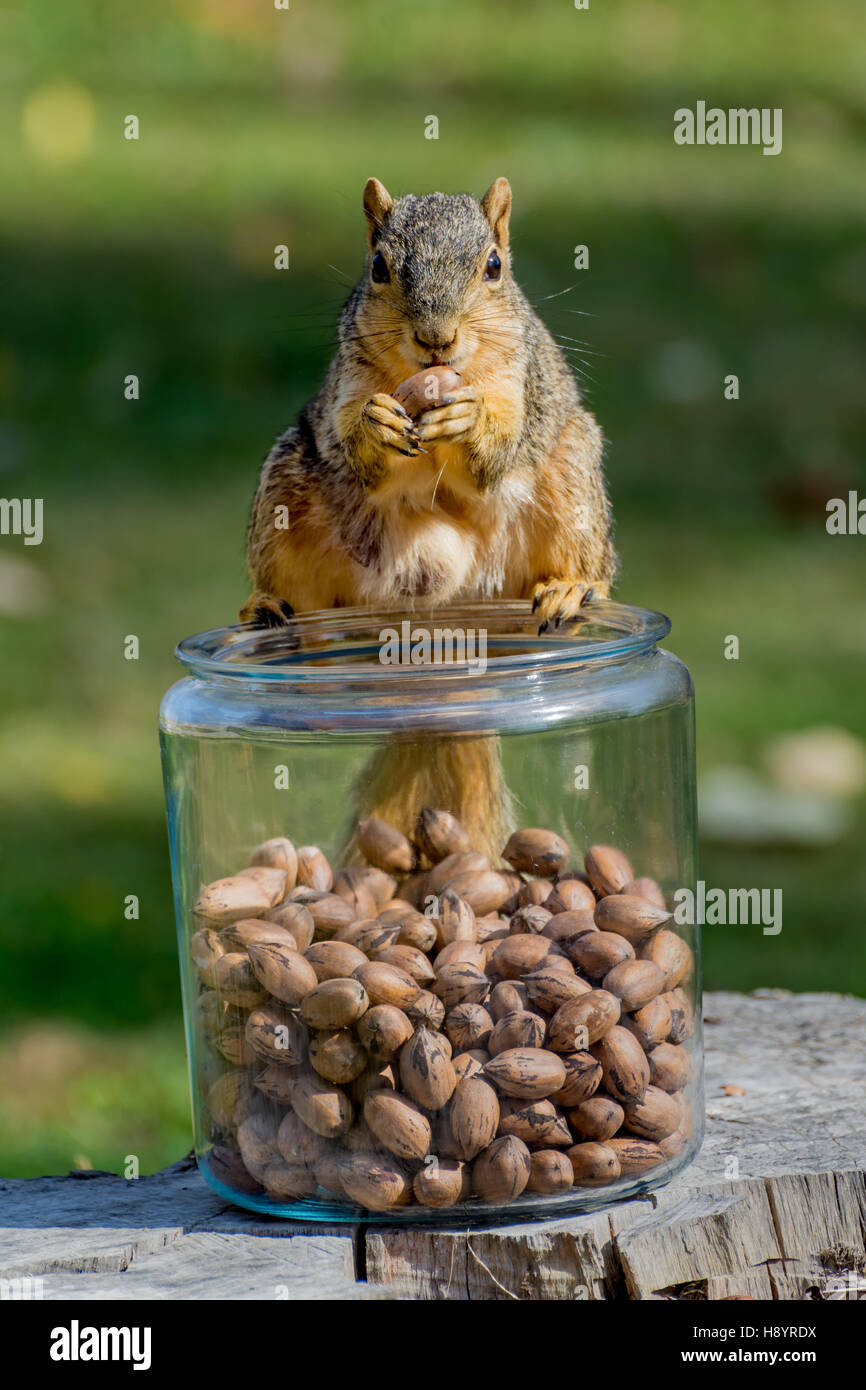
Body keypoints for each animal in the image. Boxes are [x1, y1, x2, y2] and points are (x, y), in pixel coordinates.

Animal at [240, 177, 616, 858]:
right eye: (378, 267)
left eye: (493, 266)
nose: (436, 339)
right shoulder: (347, 384)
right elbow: (358, 445)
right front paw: (376, 428)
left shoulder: (518, 384)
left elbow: (493, 457)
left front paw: (469, 421)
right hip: (289, 485)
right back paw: (268, 608)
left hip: (572, 475)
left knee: (588, 559)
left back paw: (570, 588)